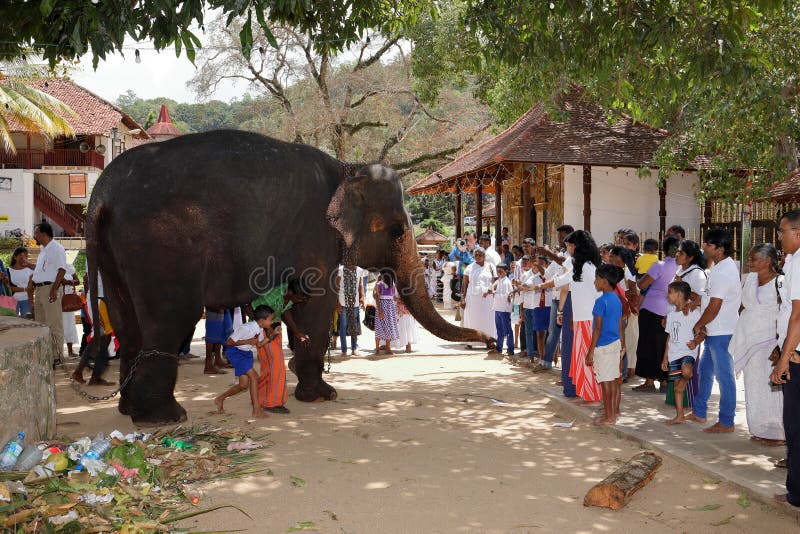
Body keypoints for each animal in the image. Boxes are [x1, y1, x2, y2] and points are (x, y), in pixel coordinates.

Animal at [84, 130, 493, 424]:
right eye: (395, 230)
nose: (488, 342)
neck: (347, 168)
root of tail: (101, 194)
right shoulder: (315, 236)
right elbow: (318, 300)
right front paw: (322, 396)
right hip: (161, 249)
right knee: (169, 320)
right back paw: (164, 418)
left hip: (113, 253)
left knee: (128, 324)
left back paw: (129, 410)